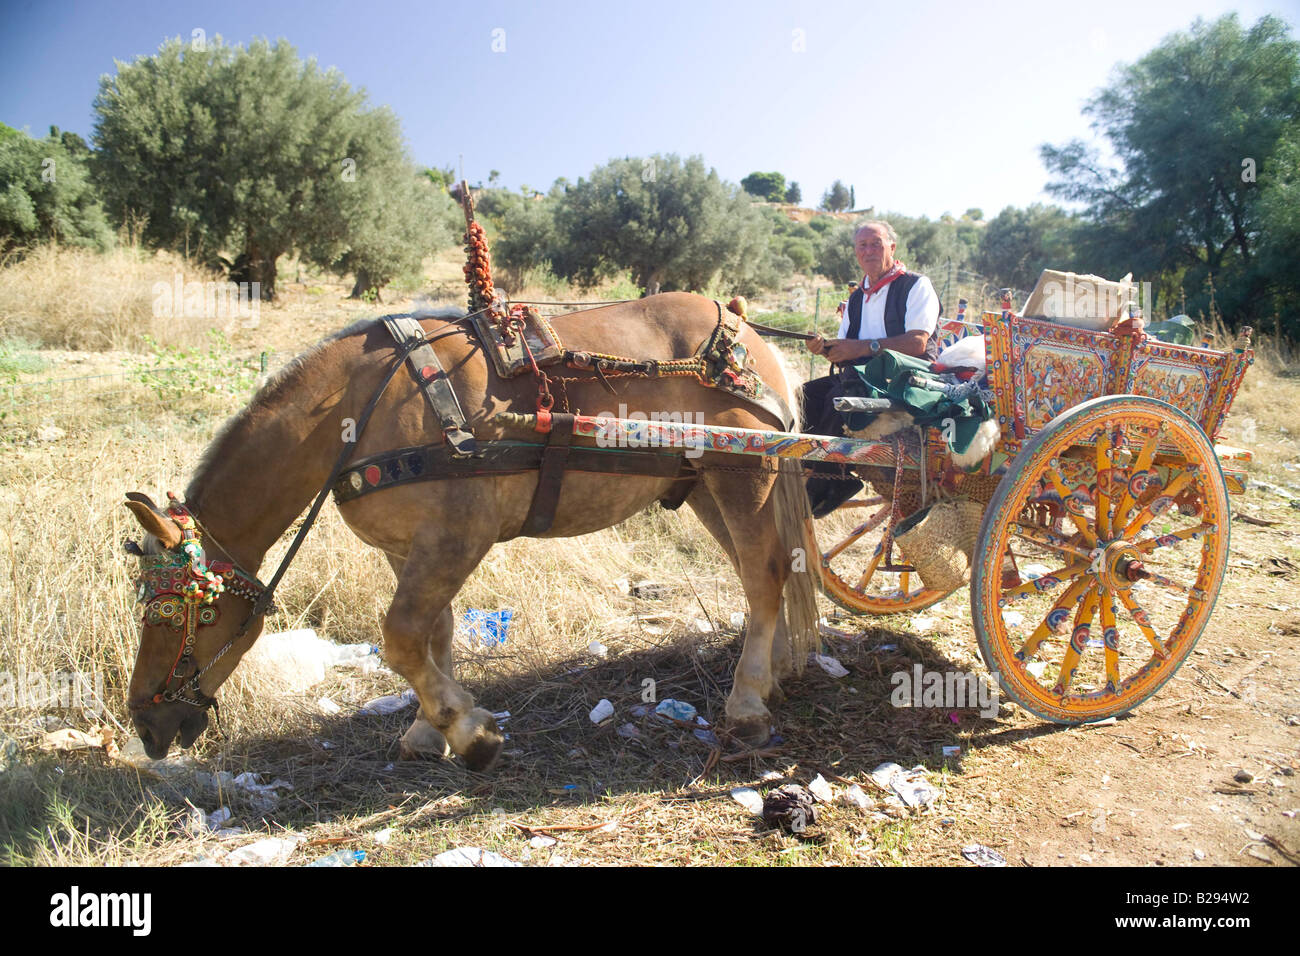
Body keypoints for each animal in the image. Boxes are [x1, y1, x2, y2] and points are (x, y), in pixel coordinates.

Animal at [123, 292, 818, 771]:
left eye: (180, 612)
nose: (146, 726)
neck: (361, 410)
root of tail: (748, 332)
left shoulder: (455, 540)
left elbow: (401, 637)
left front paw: (470, 732)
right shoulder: (410, 550)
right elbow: (434, 633)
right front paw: (429, 729)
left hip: (742, 478)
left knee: (763, 577)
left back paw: (747, 704)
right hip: (705, 487)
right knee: (767, 571)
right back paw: (776, 671)